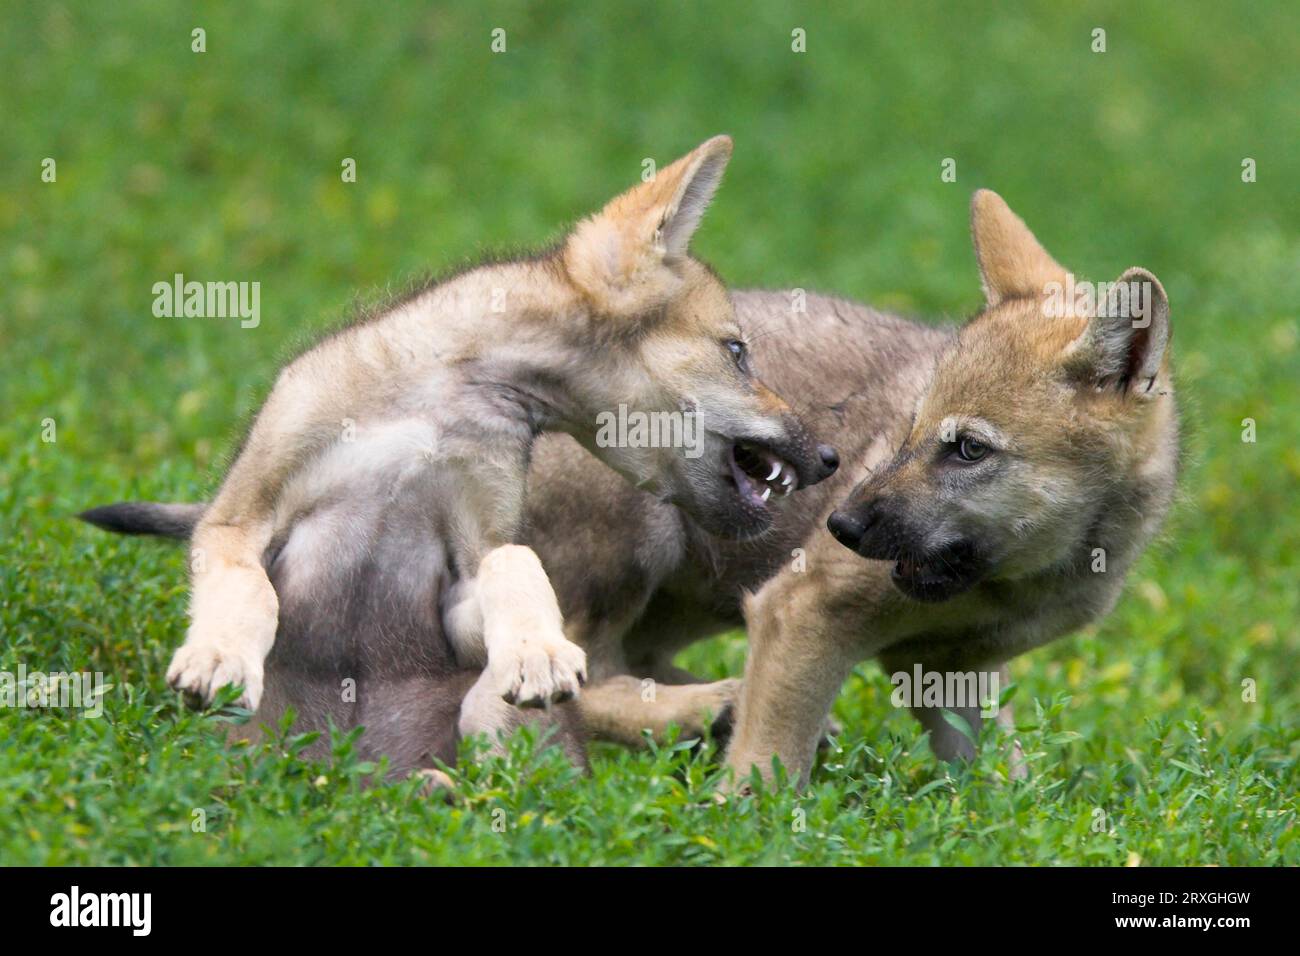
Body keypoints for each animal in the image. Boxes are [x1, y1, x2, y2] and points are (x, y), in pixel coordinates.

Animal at [84, 190, 1176, 790]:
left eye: (966, 449)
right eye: (914, 436)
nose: (843, 519)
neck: (1028, 567)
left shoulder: (951, 672)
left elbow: (1001, 779)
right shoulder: (805, 611)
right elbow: (767, 766)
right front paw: (745, 816)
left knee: (625, 672)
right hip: (639, 540)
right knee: (595, 673)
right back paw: (699, 714)